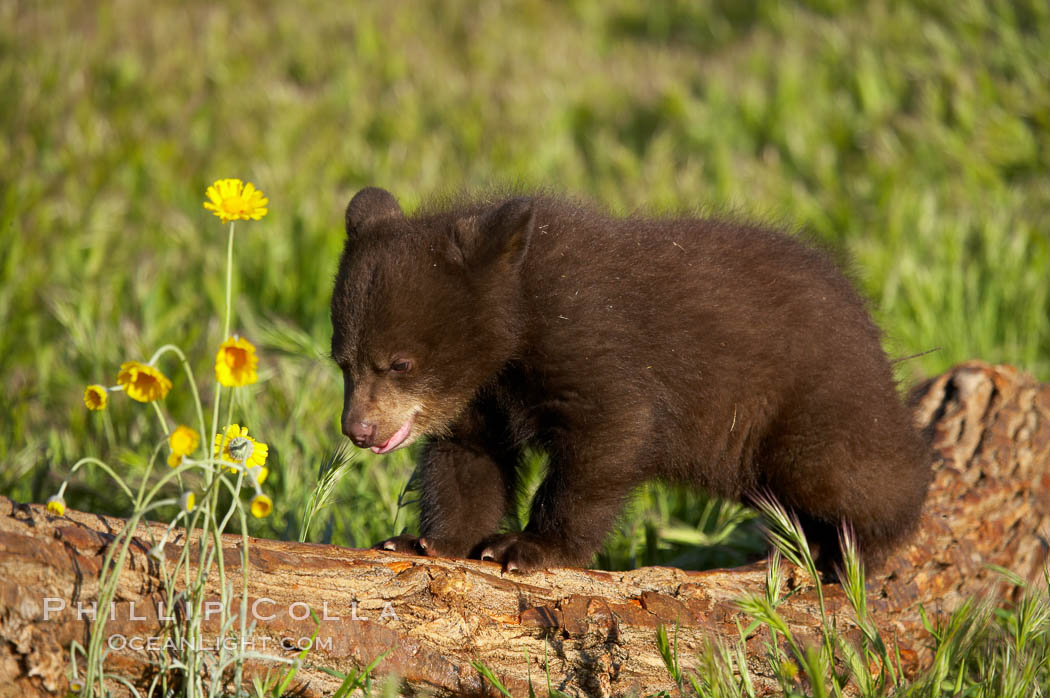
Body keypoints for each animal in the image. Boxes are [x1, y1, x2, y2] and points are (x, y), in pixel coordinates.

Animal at [330, 187, 931, 573]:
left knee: (853, 474)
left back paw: (857, 549)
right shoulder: (476, 398)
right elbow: (468, 461)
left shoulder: (592, 338)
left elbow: (610, 435)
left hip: (812, 407)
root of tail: (869, 323)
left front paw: (529, 547)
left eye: (400, 362)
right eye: (342, 361)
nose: (358, 430)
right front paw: (427, 541)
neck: (515, 328)